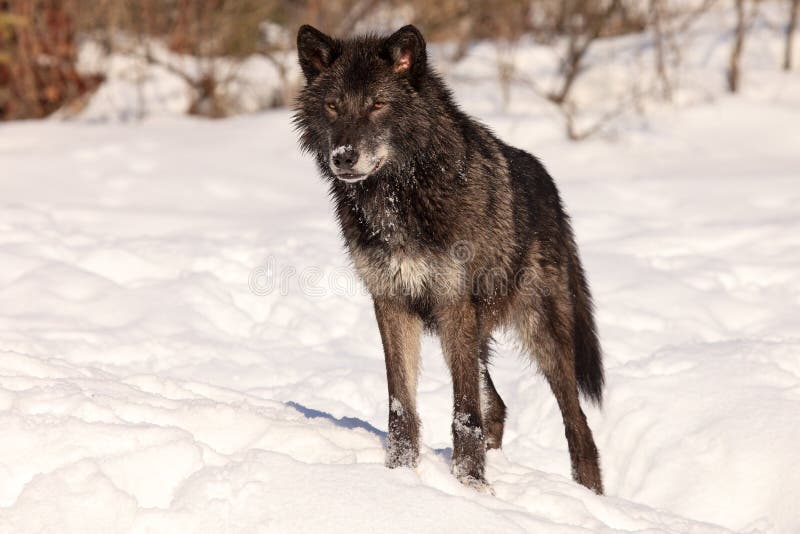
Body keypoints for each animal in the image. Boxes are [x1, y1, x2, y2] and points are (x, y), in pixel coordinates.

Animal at [294, 24, 604, 494]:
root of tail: (551, 187)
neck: (397, 196)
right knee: (499, 406)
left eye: (377, 104)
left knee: (578, 425)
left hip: (539, 332)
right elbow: (401, 406)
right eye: (332, 106)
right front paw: (401, 476)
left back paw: (591, 494)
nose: (343, 156)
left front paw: (471, 488)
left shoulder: (454, 302)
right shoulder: (391, 302)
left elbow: (465, 413)